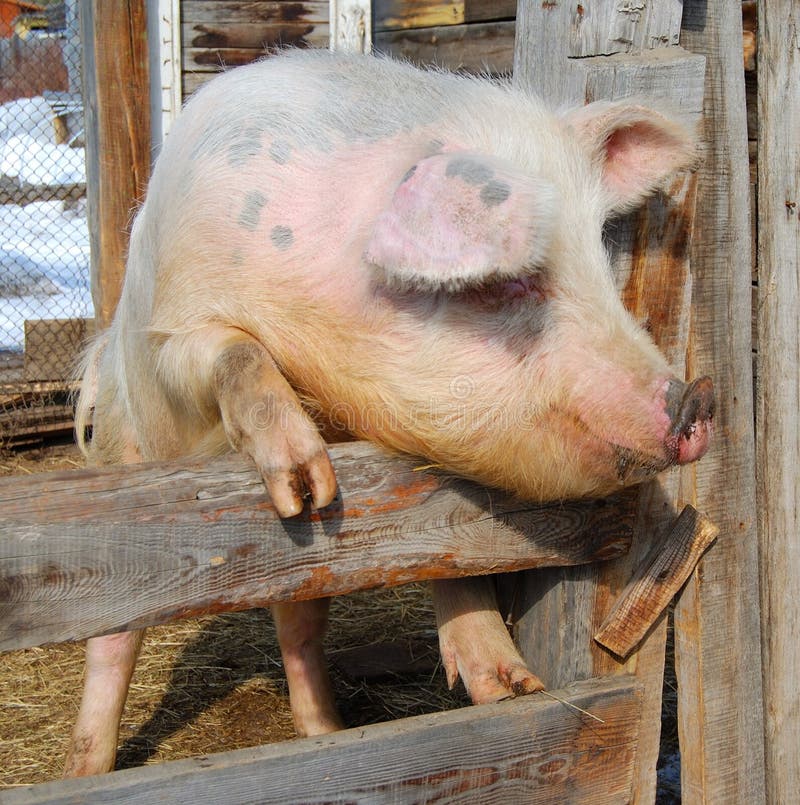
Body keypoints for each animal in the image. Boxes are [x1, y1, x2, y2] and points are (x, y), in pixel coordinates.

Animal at [66, 49, 713, 776]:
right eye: (510, 280)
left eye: (600, 259)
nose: (696, 399)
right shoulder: (176, 332)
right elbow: (233, 350)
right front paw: (308, 478)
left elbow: (444, 552)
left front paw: (513, 689)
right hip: (125, 449)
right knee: (114, 631)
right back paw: (85, 770)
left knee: (299, 613)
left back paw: (329, 723)